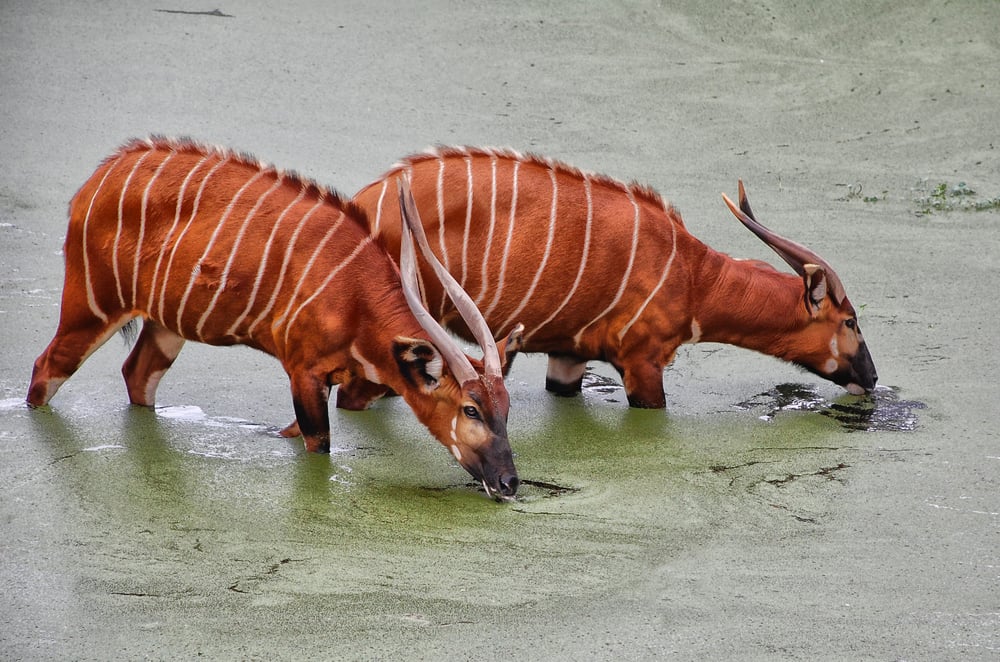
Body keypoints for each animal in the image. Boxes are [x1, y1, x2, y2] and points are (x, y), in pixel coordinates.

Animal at [26, 138, 523, 500]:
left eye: (506, 407)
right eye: (470, 408)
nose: (509, 482)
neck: (355, 294)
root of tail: (98, 179)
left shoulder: (321, 381)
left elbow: (291, 433)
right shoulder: (303, 373)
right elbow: (318, 445)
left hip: (167, 328)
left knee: (137, 373)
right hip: (91, 309)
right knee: (45, 369)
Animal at [350, 146, 877, 409]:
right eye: (850, 321)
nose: (871, 378)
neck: (695, 276)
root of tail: (362, 200)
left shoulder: (568, 357)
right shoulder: (642, 364)